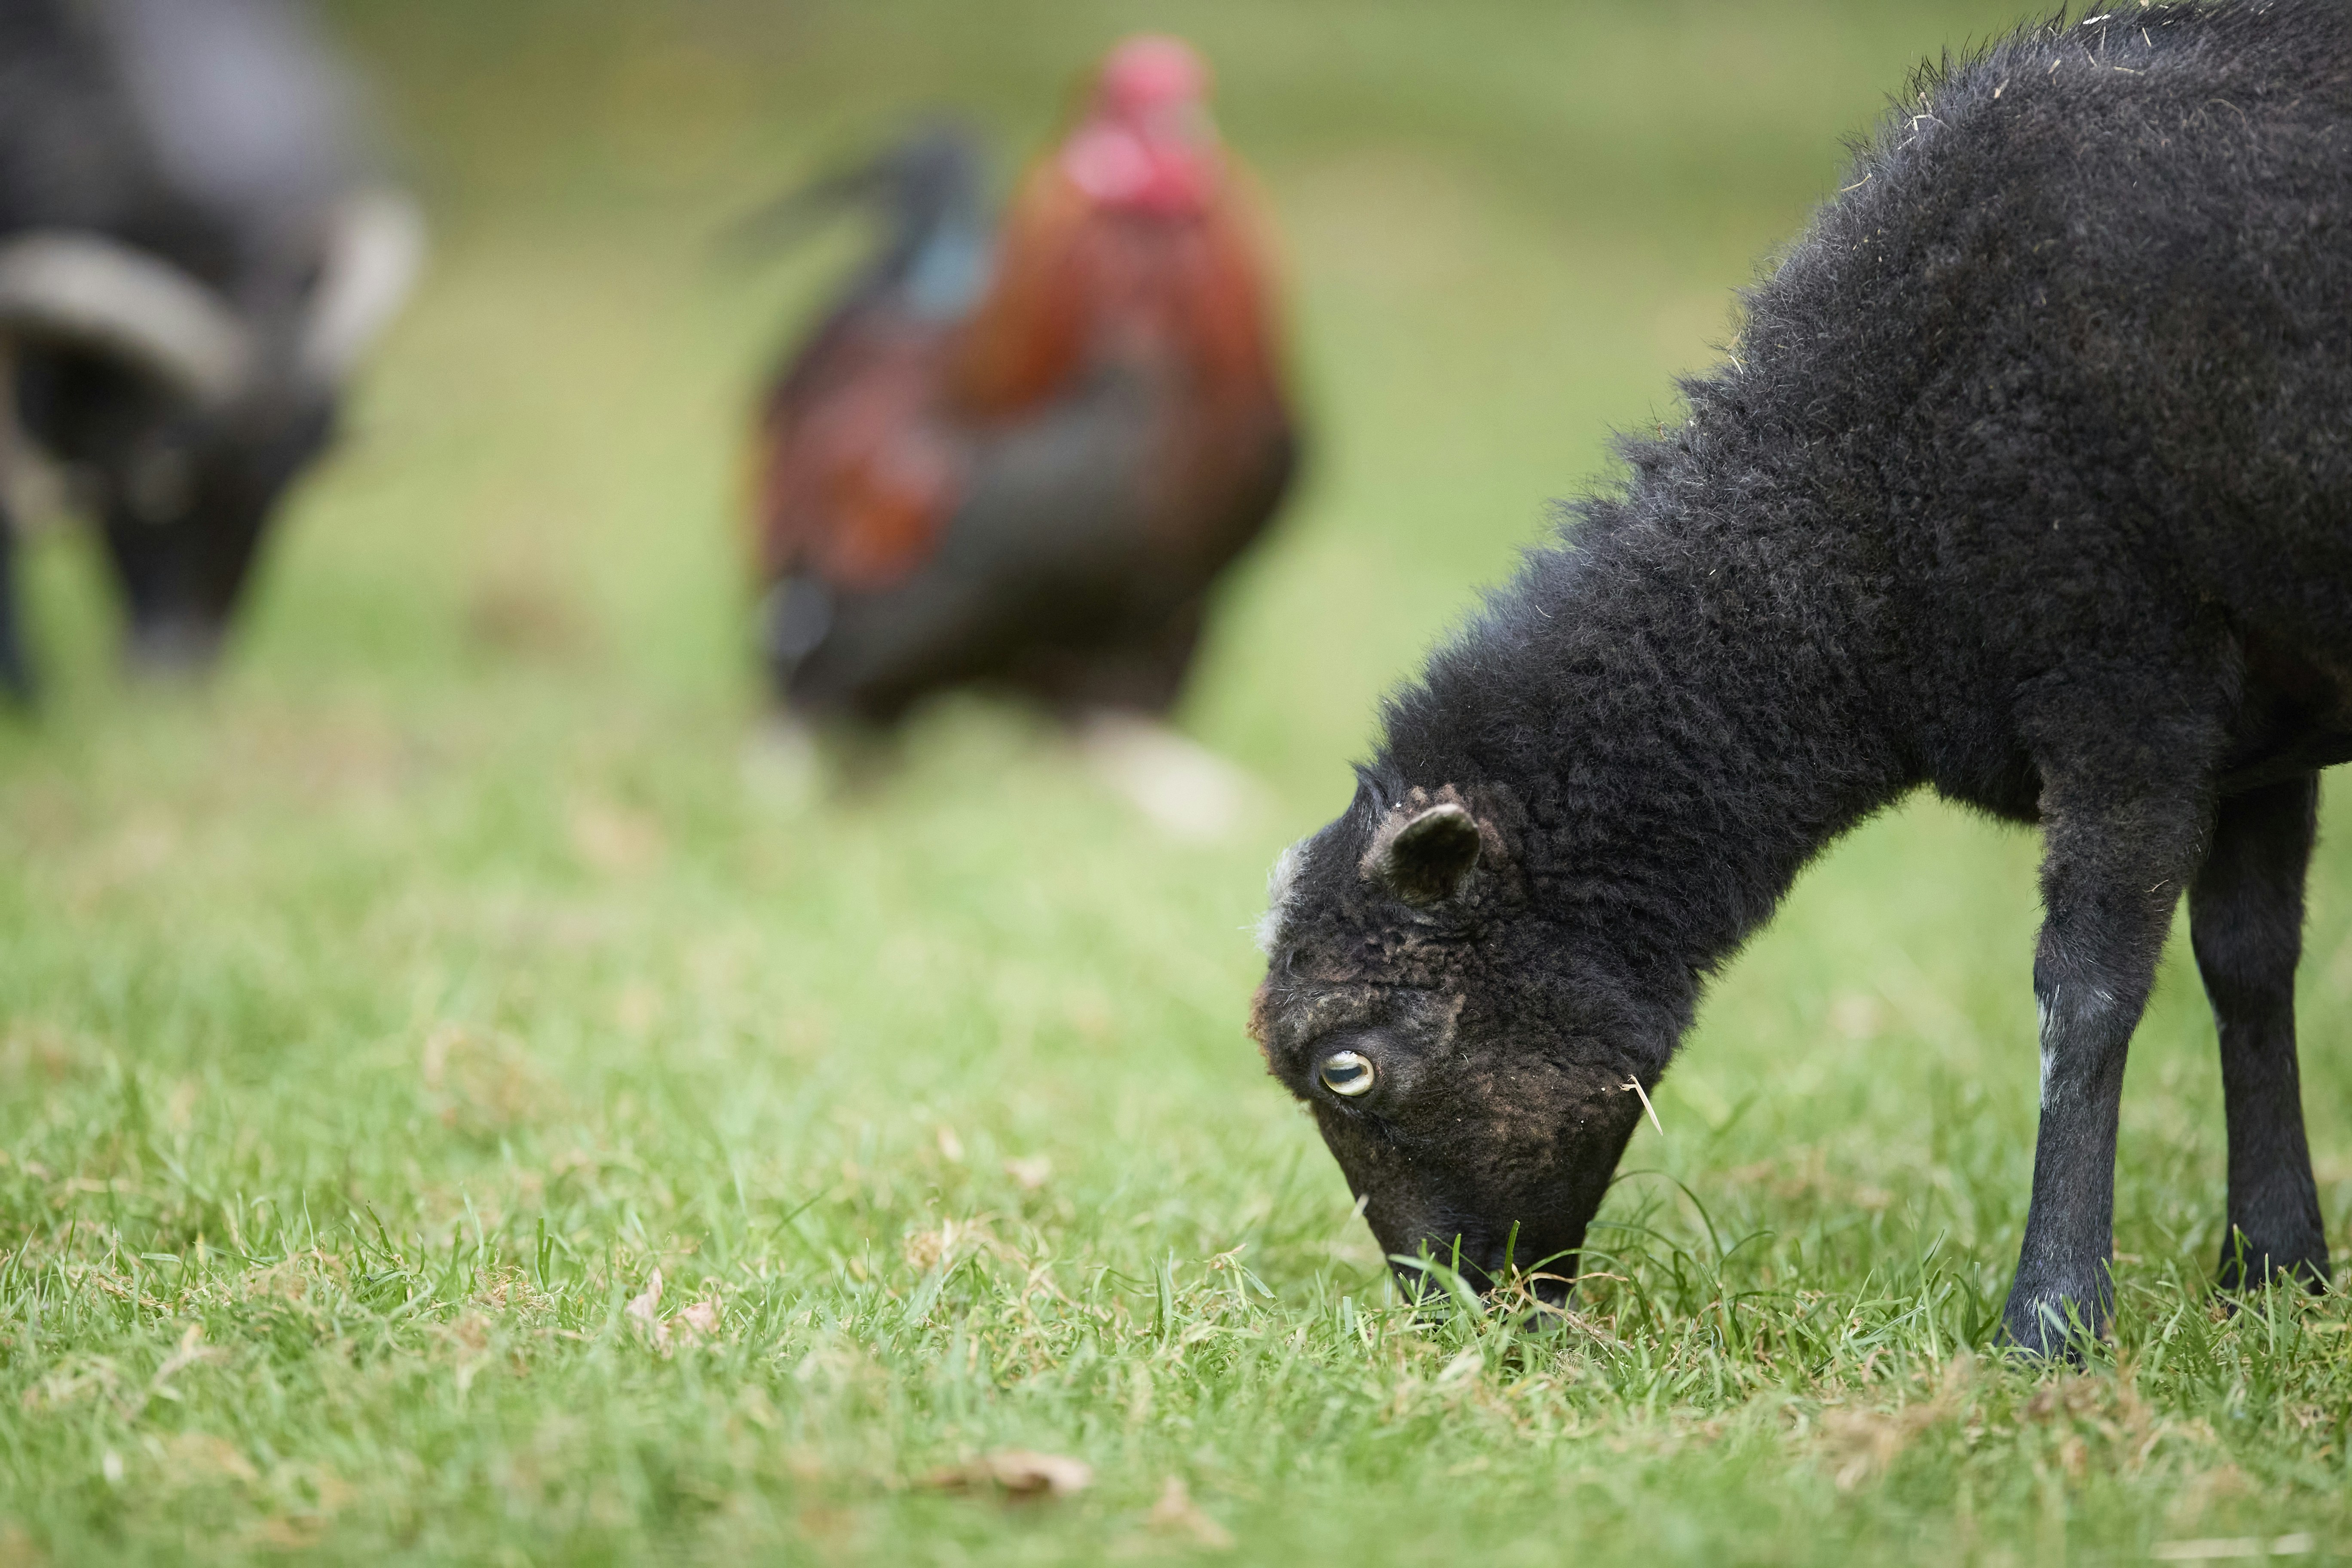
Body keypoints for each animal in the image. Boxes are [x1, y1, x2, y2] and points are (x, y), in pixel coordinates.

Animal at [1250, 0, 2352, 1357]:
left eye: (1343, 1066)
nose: (1457, 1311)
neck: (1851, 512)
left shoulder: (2121, 673)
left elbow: (2085, 995)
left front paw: (2051, 1320)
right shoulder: (2259, 717)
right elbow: (2249, 967)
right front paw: (2276, 1270)